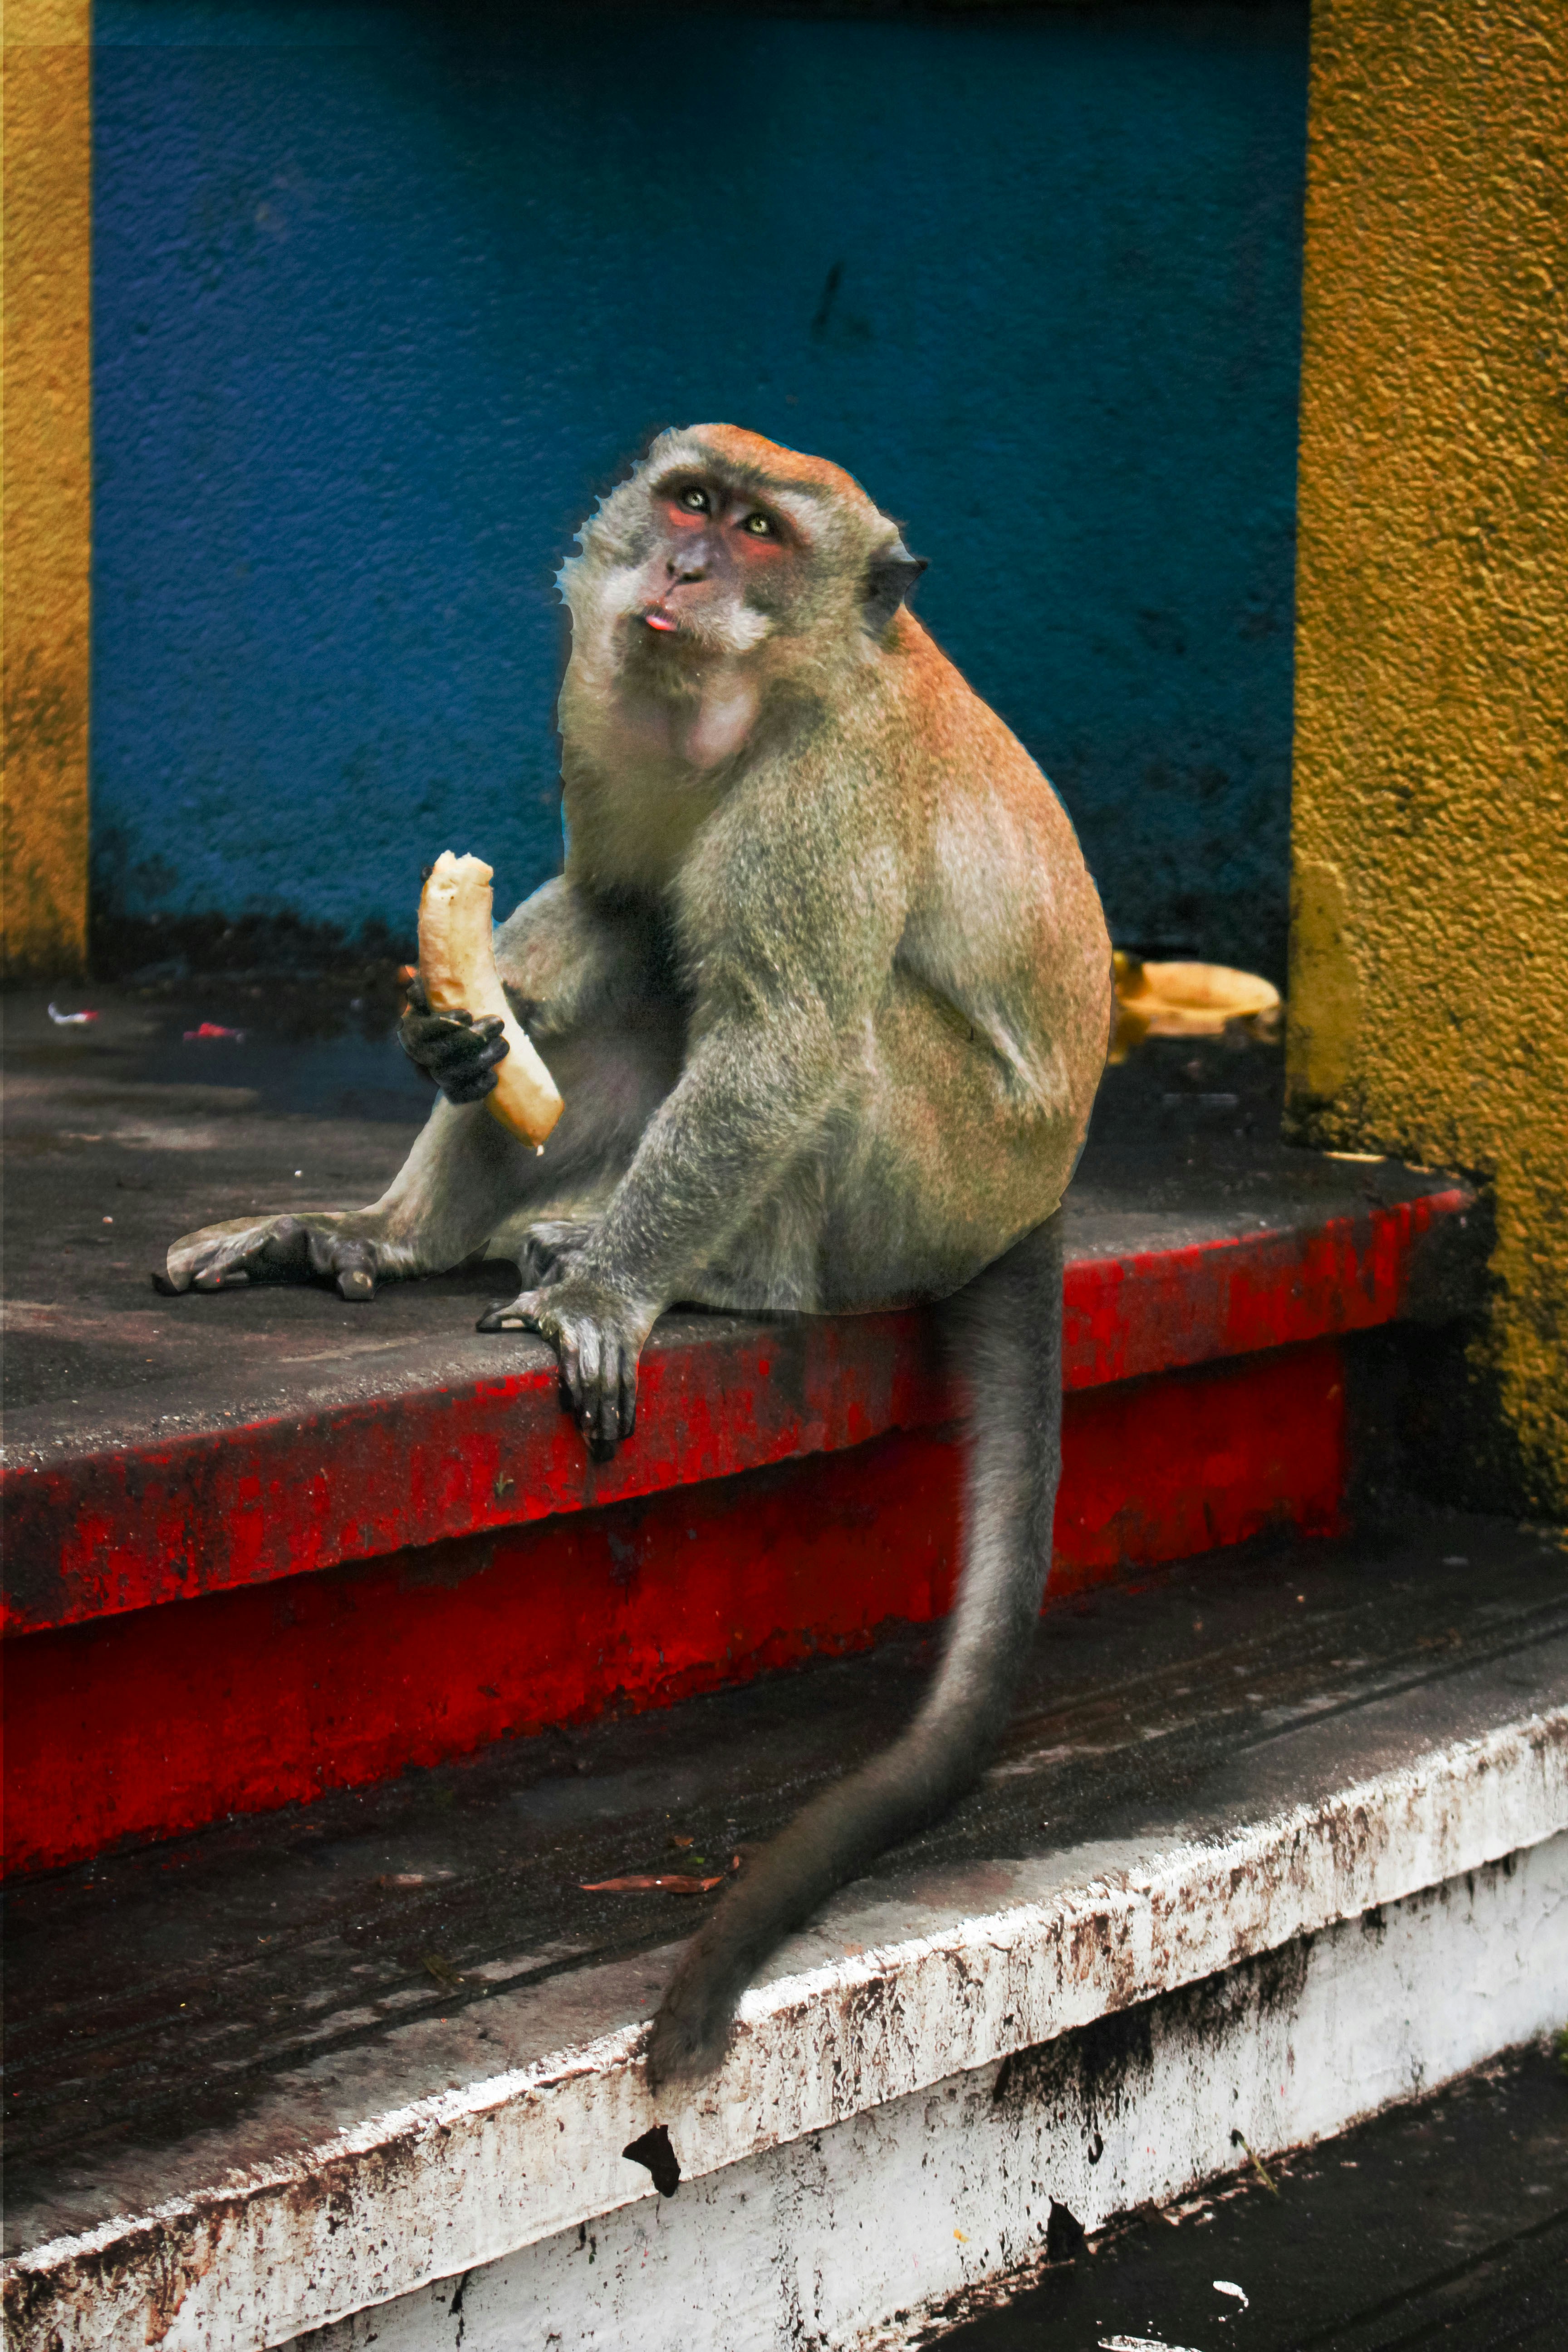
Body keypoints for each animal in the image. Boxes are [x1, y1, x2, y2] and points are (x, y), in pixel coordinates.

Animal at [160, 426, 1112, 2088]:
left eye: (756, 534)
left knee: (816, 1026)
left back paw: (714, 1277)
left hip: (938, 1182)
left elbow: (783, 1035)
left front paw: (608, 1289)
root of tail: (1034, 1200)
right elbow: (602, 903)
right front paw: (451, 1031)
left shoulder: (820, 799)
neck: (738, 704)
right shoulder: (594, 700)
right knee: (645, 942)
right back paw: (386, 1237)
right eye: (691, 501)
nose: (678, 568)